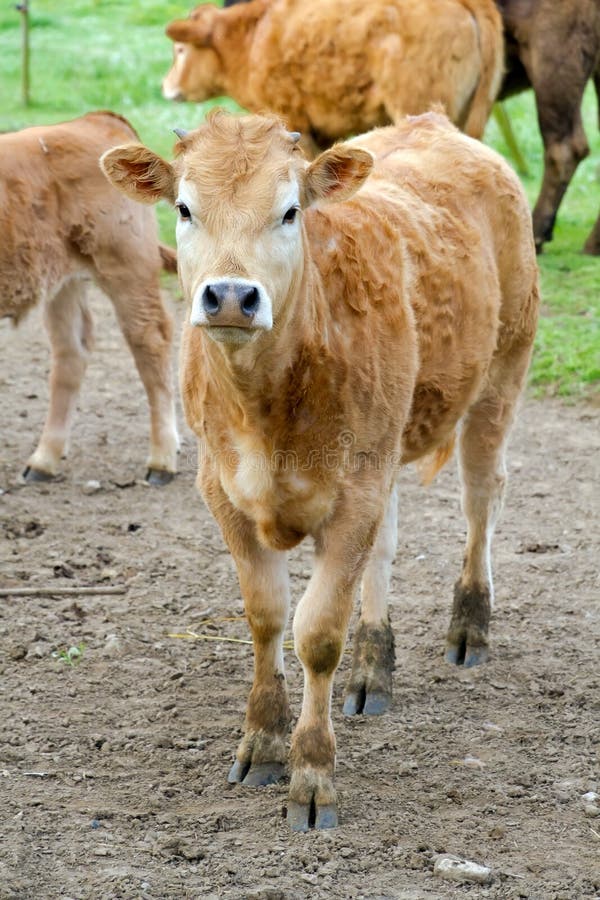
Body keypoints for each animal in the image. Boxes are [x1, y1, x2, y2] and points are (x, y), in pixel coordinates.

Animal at [0, 111, 179, 484]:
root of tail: (95, 120)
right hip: (63, 280)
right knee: (72, 352)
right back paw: (44, 459)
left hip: (127, 265)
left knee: (151, 340)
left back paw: (162, 460)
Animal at [101, 109, 539, 831]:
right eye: (184, 208)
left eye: (289, 211)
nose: (230, 296)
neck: (267, 407)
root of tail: (434, 123)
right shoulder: (222, 489)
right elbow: (266, 616)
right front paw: (261, 741)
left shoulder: (353, 494)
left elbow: (318, 634)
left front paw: (311, 772)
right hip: (389, 439)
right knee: (387, 545)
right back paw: (373, 667)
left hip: (503, 371)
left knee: (483, 497)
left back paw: (470, 625)